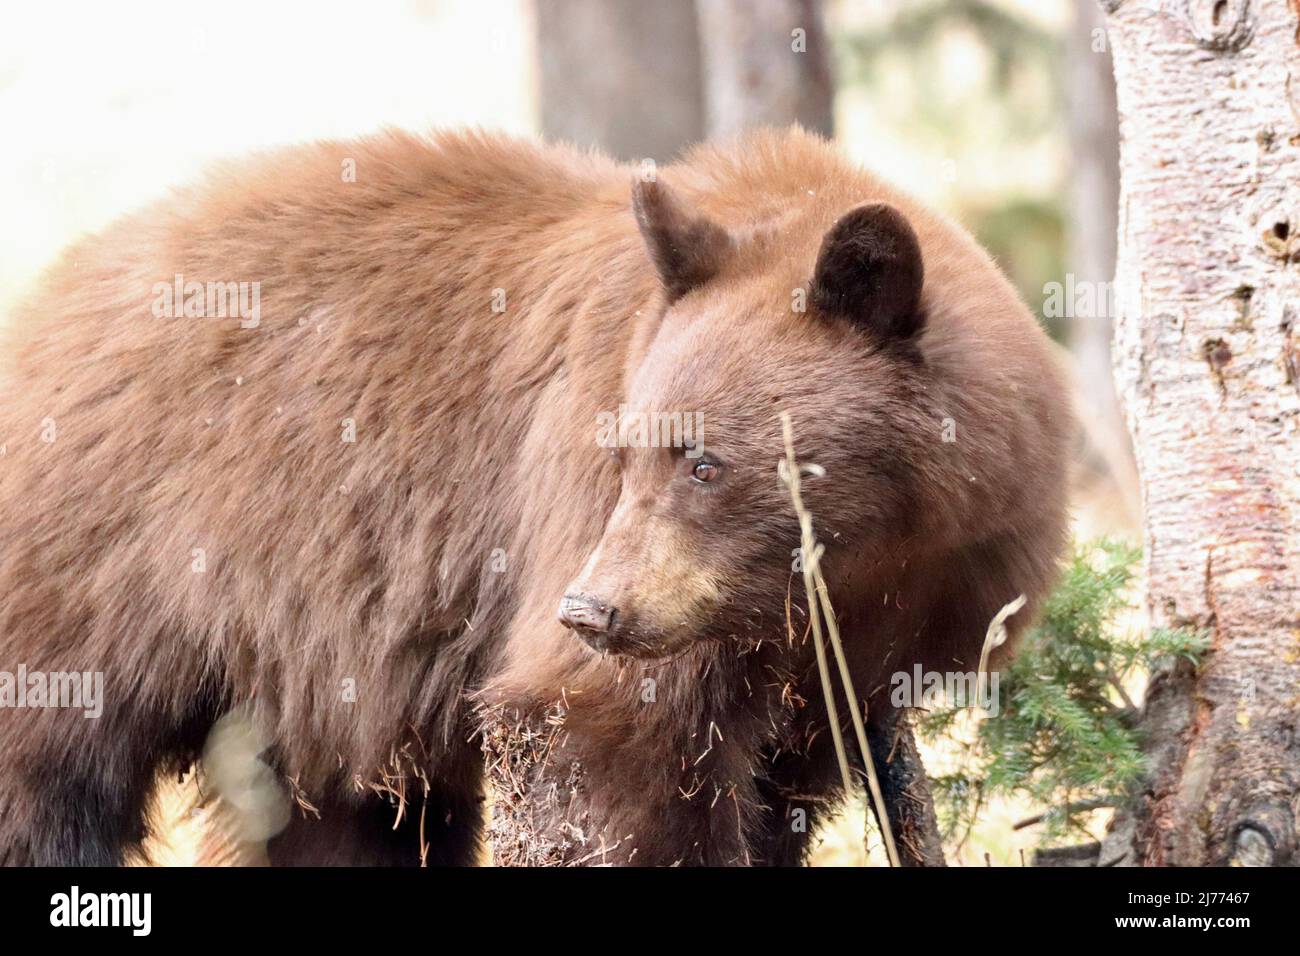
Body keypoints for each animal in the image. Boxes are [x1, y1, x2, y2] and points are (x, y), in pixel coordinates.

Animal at [0, 127, 1070, 866]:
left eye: (703, 463)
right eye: (630, 451)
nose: (591, 608)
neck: (857, 565)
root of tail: (47, 291)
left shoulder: (897, 629)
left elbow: (782, 789)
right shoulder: (590, 518)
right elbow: (601, 738)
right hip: (100, 562)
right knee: (44, 767)